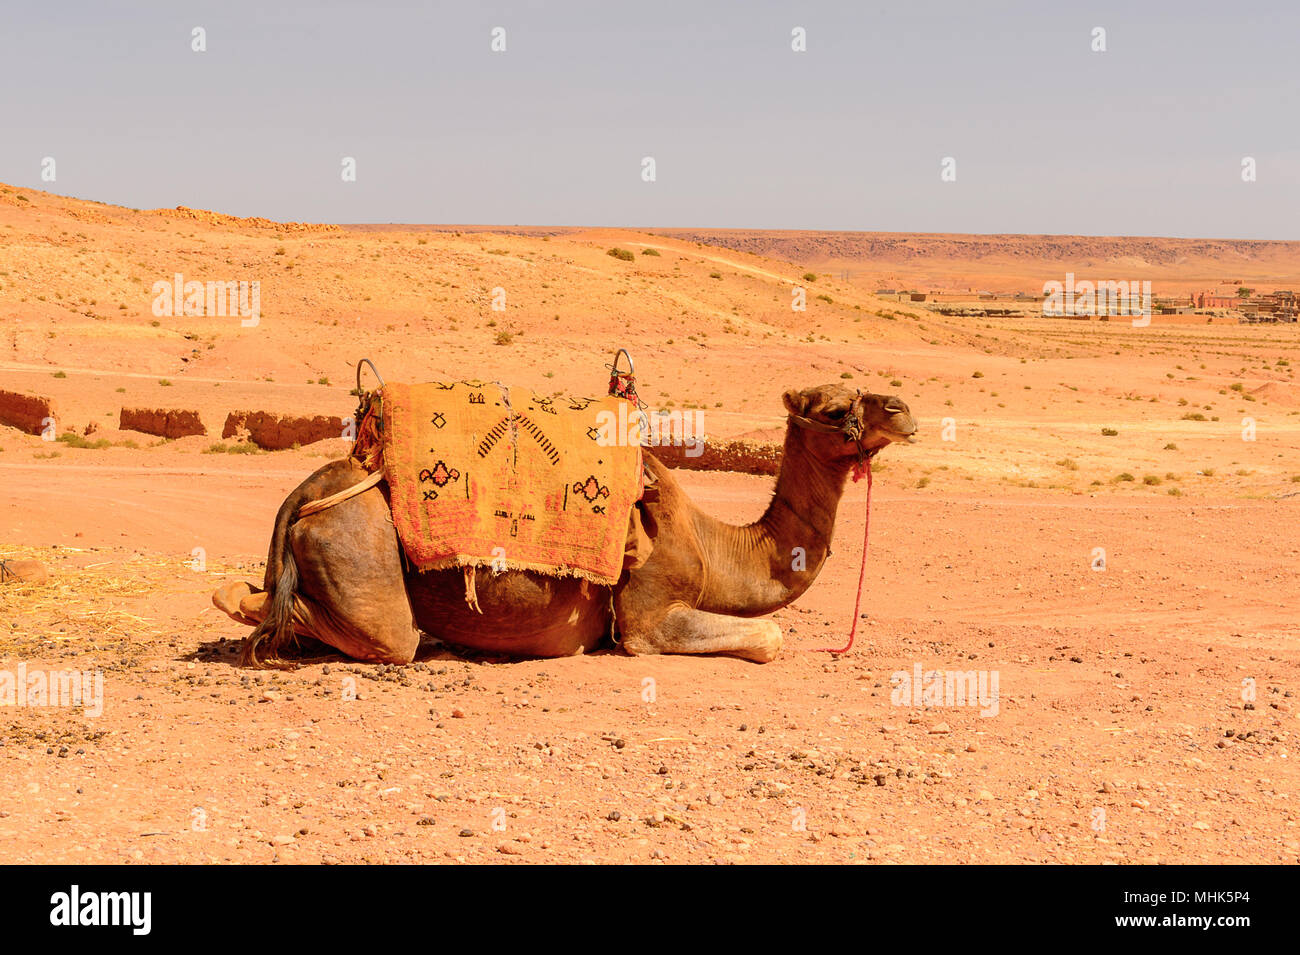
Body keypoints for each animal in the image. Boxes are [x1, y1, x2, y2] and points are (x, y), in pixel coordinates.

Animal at [212, 383, 916, 666]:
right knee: (364, 631)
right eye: (835, 408)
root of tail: (306, 493)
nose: (904, 408)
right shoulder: (646, 616)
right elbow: (769, 637)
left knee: (242, 594)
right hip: (360, 554)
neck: (717, 546)